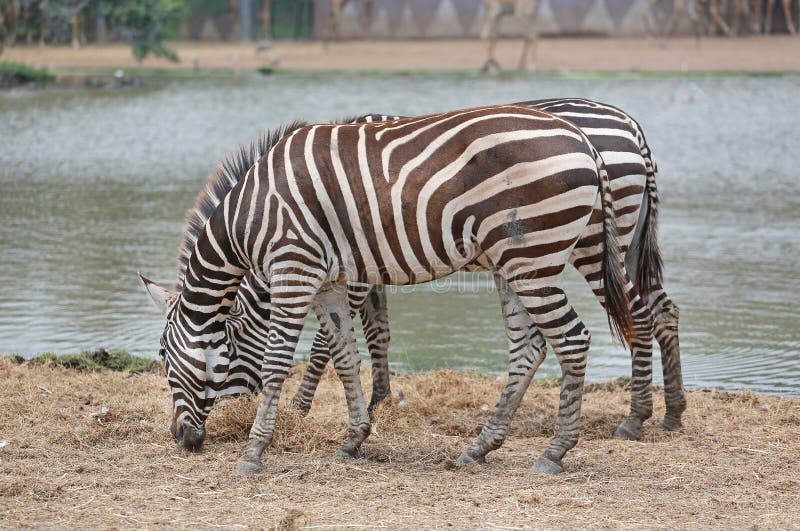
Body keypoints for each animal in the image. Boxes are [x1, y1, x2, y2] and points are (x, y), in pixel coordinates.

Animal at [141, 104, 637, 475]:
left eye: (164, 358)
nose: (181, 439)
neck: (249, 217)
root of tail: (581, 137)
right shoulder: (330, 282)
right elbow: (343, 355)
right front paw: (352, 440)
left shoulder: (294, 270)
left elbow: (278, 360)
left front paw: (253, 452)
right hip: (515, 263)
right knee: (528, 347)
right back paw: (479, 448)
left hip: (536, 257)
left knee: (572, 339)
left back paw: (555, 452)